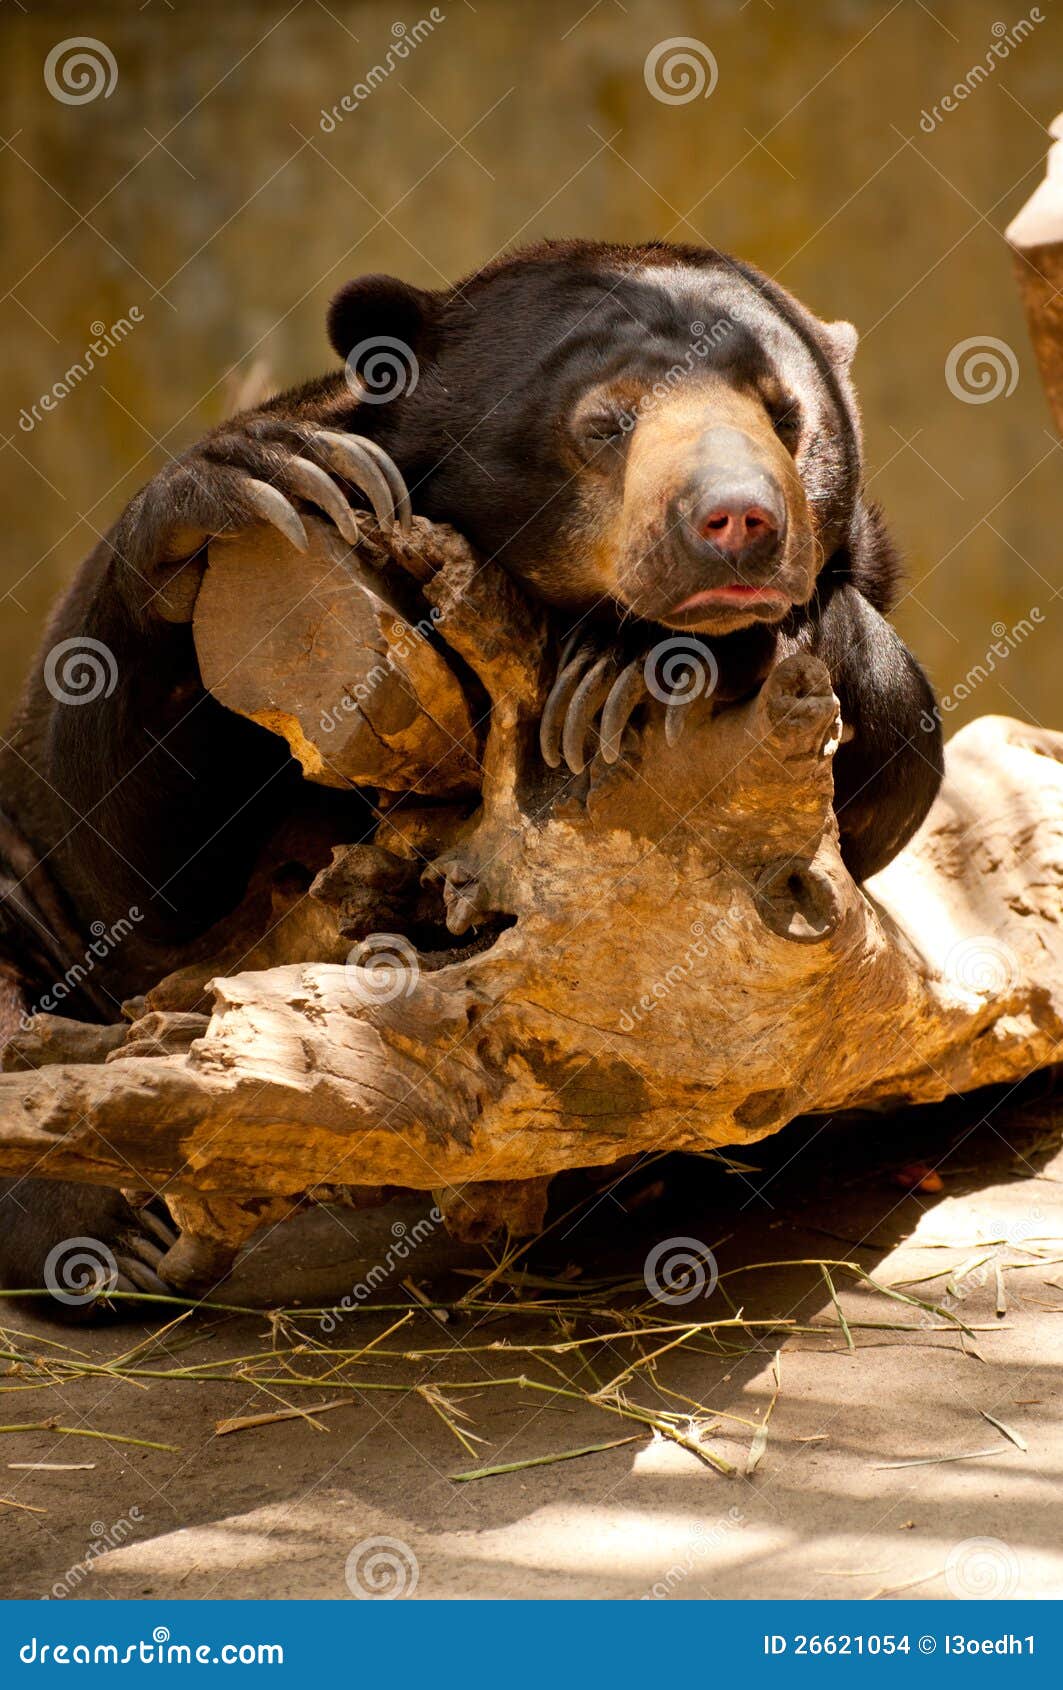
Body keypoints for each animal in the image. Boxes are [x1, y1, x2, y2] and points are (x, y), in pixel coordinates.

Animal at [0, 237, 943, 1314]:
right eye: (604, 423)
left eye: (785, 417)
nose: (736, 521)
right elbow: (128, 867)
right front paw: (252, 479)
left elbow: (892, 764)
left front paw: (626, 664)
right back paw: (110, 1233)